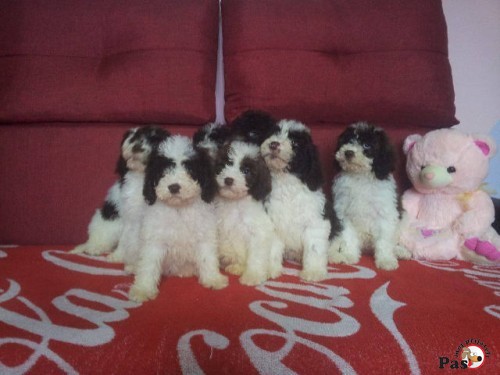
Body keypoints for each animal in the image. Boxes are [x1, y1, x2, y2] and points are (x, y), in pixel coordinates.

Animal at [70, 128, 169, 258]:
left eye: (154, 140)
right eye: (132, 138)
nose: (136, 146)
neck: (142, 177)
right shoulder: (130, 215)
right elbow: (127, 237)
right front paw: (119, 256)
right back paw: (95, 248)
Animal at [128, 135, 228, 302]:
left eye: (189, 170)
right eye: (163, 171)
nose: (174, 187)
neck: (179, 210)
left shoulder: (204, 235)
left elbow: (208, 258)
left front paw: (213, 279)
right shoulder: (154, 239)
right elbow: (149, 264)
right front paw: (143, 289)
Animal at [216, 140, 286, 284]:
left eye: (246, 171)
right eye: (226, 163)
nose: (228, 180)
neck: (235, 203)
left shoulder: (258, 233)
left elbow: (256, 257)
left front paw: (252, 276)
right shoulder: (225, 229)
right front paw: (237, 265)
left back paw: (271, 270)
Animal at [258, 120, 336, 282]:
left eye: (295, 143)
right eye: (274, 134)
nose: (273, 144)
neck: (286, 183)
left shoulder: (316, 223)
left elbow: (314, 248)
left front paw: (313, 271)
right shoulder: (272, 222)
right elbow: (272, 249)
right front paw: (270, 269)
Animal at [328, 122, 410, 270]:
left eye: (367, 145)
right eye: (348, 141)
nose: (348, 152)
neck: (361, 177)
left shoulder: (385, 213)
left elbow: (384, 240)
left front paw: (386, 260)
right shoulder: (344, 213)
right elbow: (349, 237)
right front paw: (349, 255)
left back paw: (400, 251)